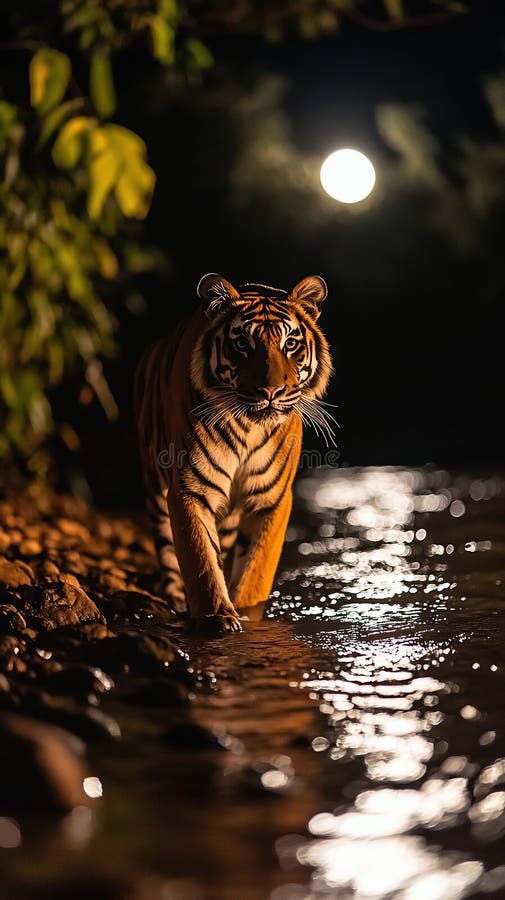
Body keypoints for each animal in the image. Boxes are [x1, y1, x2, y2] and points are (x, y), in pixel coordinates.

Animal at [134, 273, 333, 635]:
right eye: (242, 344)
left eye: (290, 344)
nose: (271, 391)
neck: (249, 428)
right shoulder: (189, 490)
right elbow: (200, 559)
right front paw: (216, 617)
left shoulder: (272, 499)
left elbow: (257, 569)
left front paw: (246, 612)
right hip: (154, 490)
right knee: (169, 556)